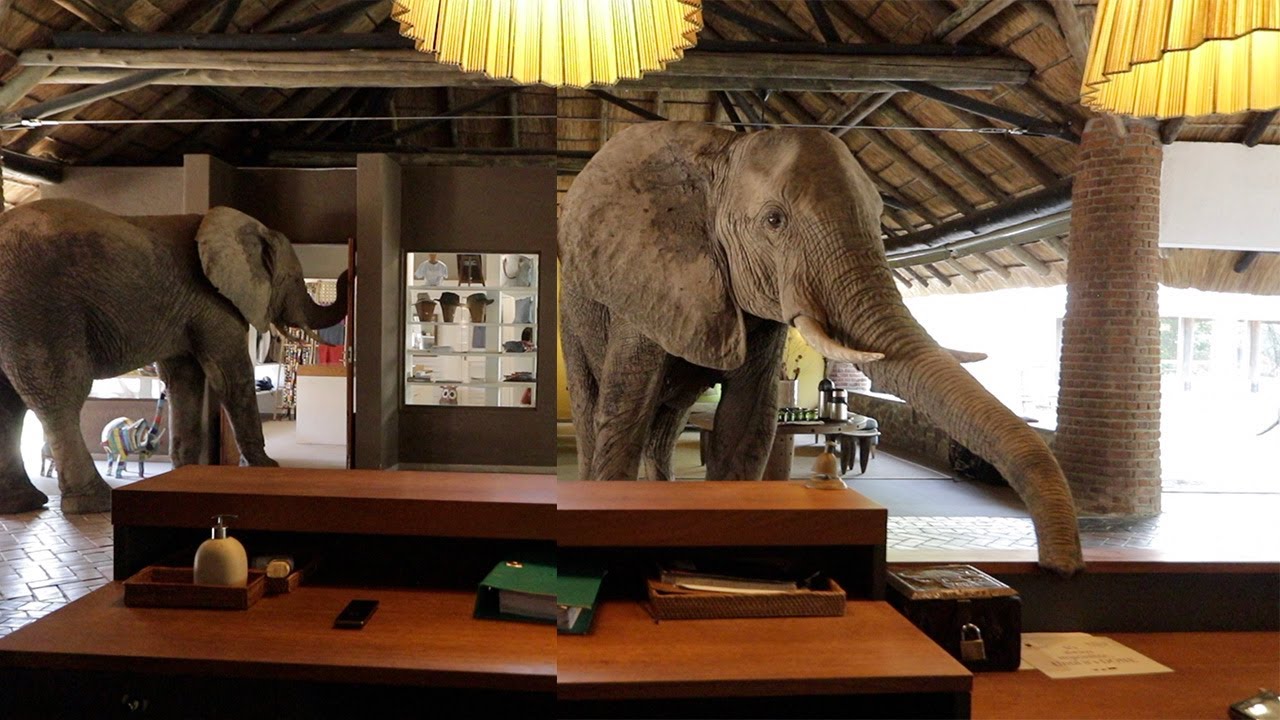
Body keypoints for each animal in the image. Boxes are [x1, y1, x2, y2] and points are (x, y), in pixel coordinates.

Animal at [0, 199, 348, 514]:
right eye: (294, 279)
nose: (345, 273)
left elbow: (184, 379)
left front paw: (186, 475)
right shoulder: (212, 303)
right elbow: (229, 375)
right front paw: (266, 468)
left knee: (11, 403)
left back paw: (21, 503)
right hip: (40, 307)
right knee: (58, 393)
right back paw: (92, 503)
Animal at [559, 122, 1084, 575]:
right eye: (773, 220)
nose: (1061, 568)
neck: (721, 154)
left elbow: (745, 426)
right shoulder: (642, 283)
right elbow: (624, 415)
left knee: (667, 419)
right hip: (574, 318)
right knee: (598, 408)